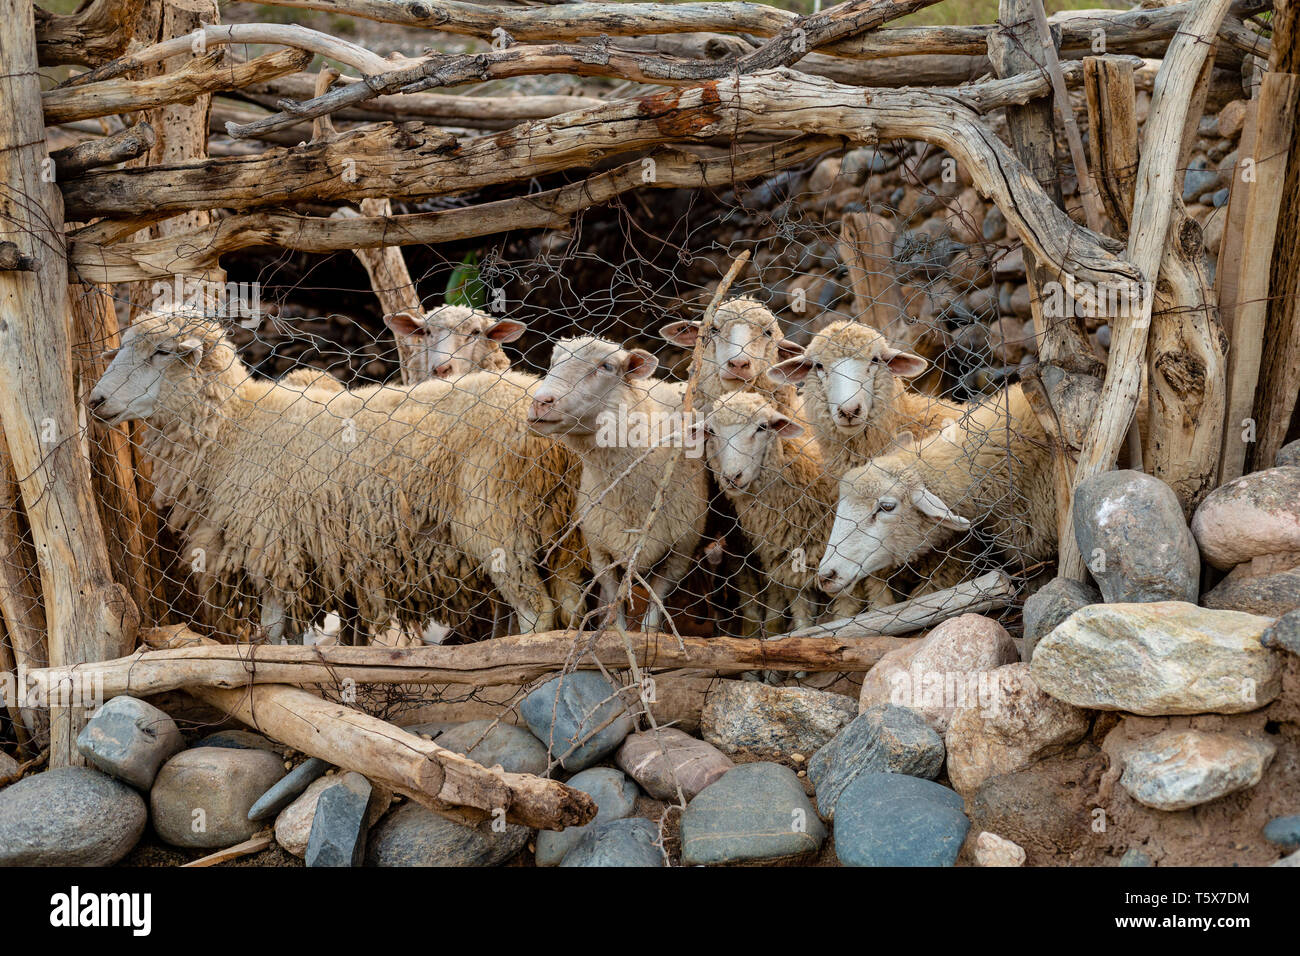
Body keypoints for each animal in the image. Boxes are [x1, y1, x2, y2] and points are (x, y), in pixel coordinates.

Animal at [88, 306, 585, 644]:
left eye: (161, 353)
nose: (95, 401)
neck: (235, 426)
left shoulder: (271, 536)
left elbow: (271, 631)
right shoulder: (294, 549)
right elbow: (288, 634)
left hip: (497, 519)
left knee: (536, 611)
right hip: (559, 529)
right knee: (567, 607)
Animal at [528, 336, 709, 631]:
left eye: (606, 366)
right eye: (553, 362)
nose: (540, 402)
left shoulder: (680, 553)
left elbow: (652, 616)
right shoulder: (600, 552)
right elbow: (616, 612)